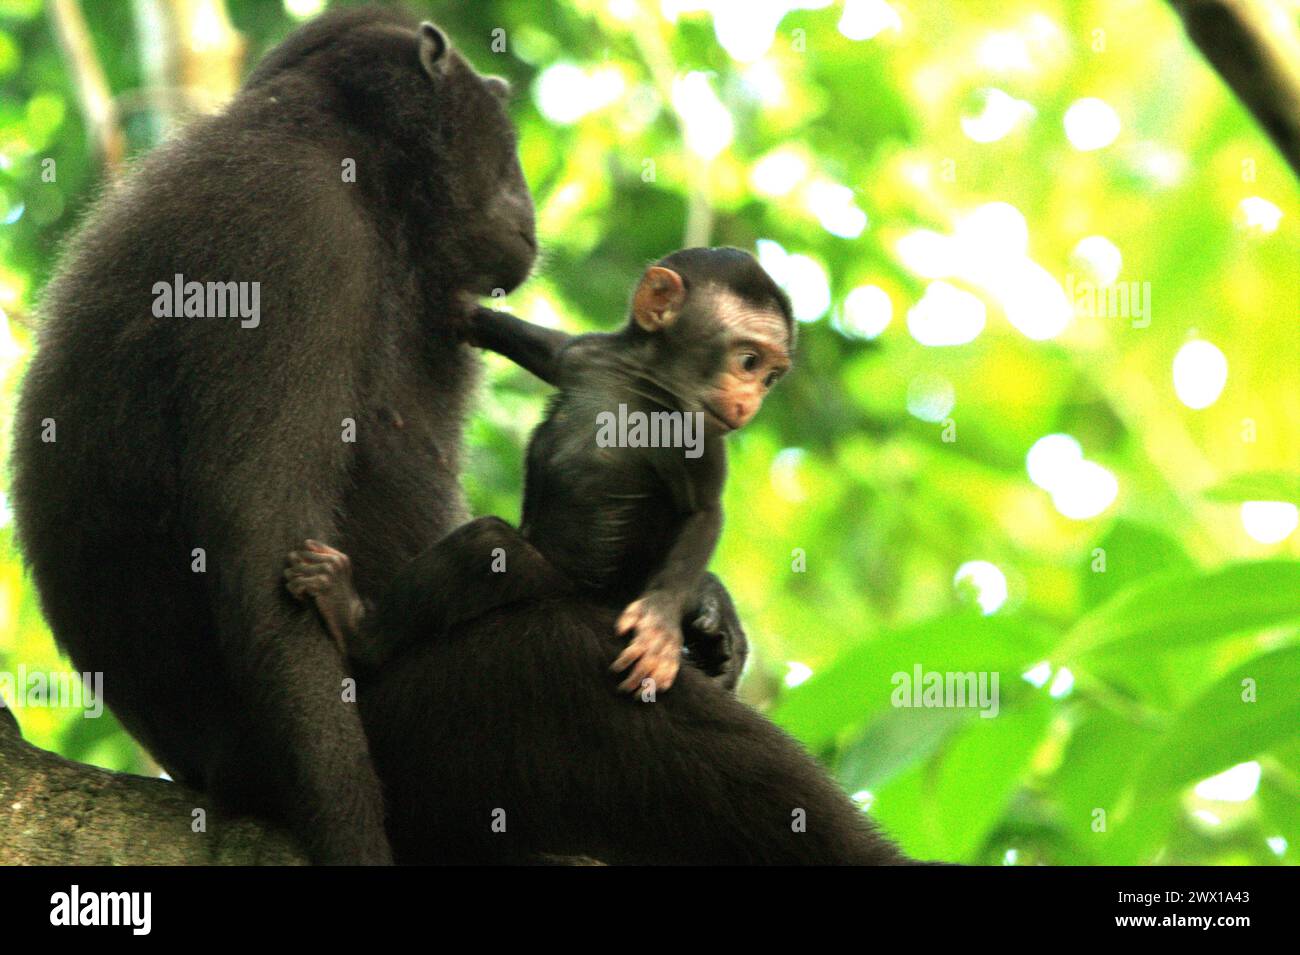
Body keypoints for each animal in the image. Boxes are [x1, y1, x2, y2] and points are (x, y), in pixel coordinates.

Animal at [283, 247, 791, 695]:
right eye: (750, 361)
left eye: (769, 377)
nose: (750, 402)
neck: (643, 384)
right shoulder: (589, 356)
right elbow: (550, 350)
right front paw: (469, 315)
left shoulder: (698, 437)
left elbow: (703, 514)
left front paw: (660, 626)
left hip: (556, 587)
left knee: (487, 547)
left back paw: (353, 627)